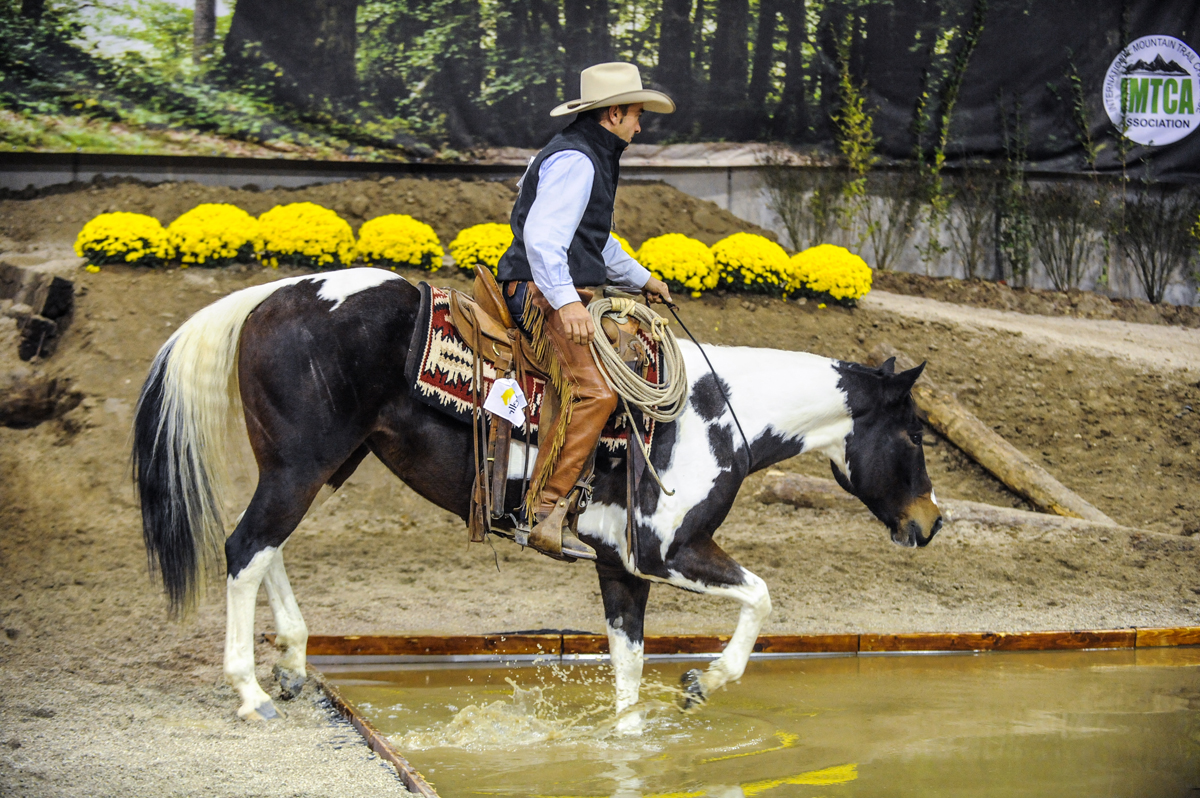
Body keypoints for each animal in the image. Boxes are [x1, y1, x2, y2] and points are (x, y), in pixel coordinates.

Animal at [132, 268, 941, 727]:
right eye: (913, 436)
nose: (932, 522)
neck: (719, 411)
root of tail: (268, 297)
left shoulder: (621, 566)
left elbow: (627, 679)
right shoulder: (668, 550)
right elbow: (762, 597)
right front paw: (705, 682)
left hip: (312, 466)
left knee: (265, 547)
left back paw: (295, 665)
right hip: (302, 466)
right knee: (245, 548)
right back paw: (252, 693)